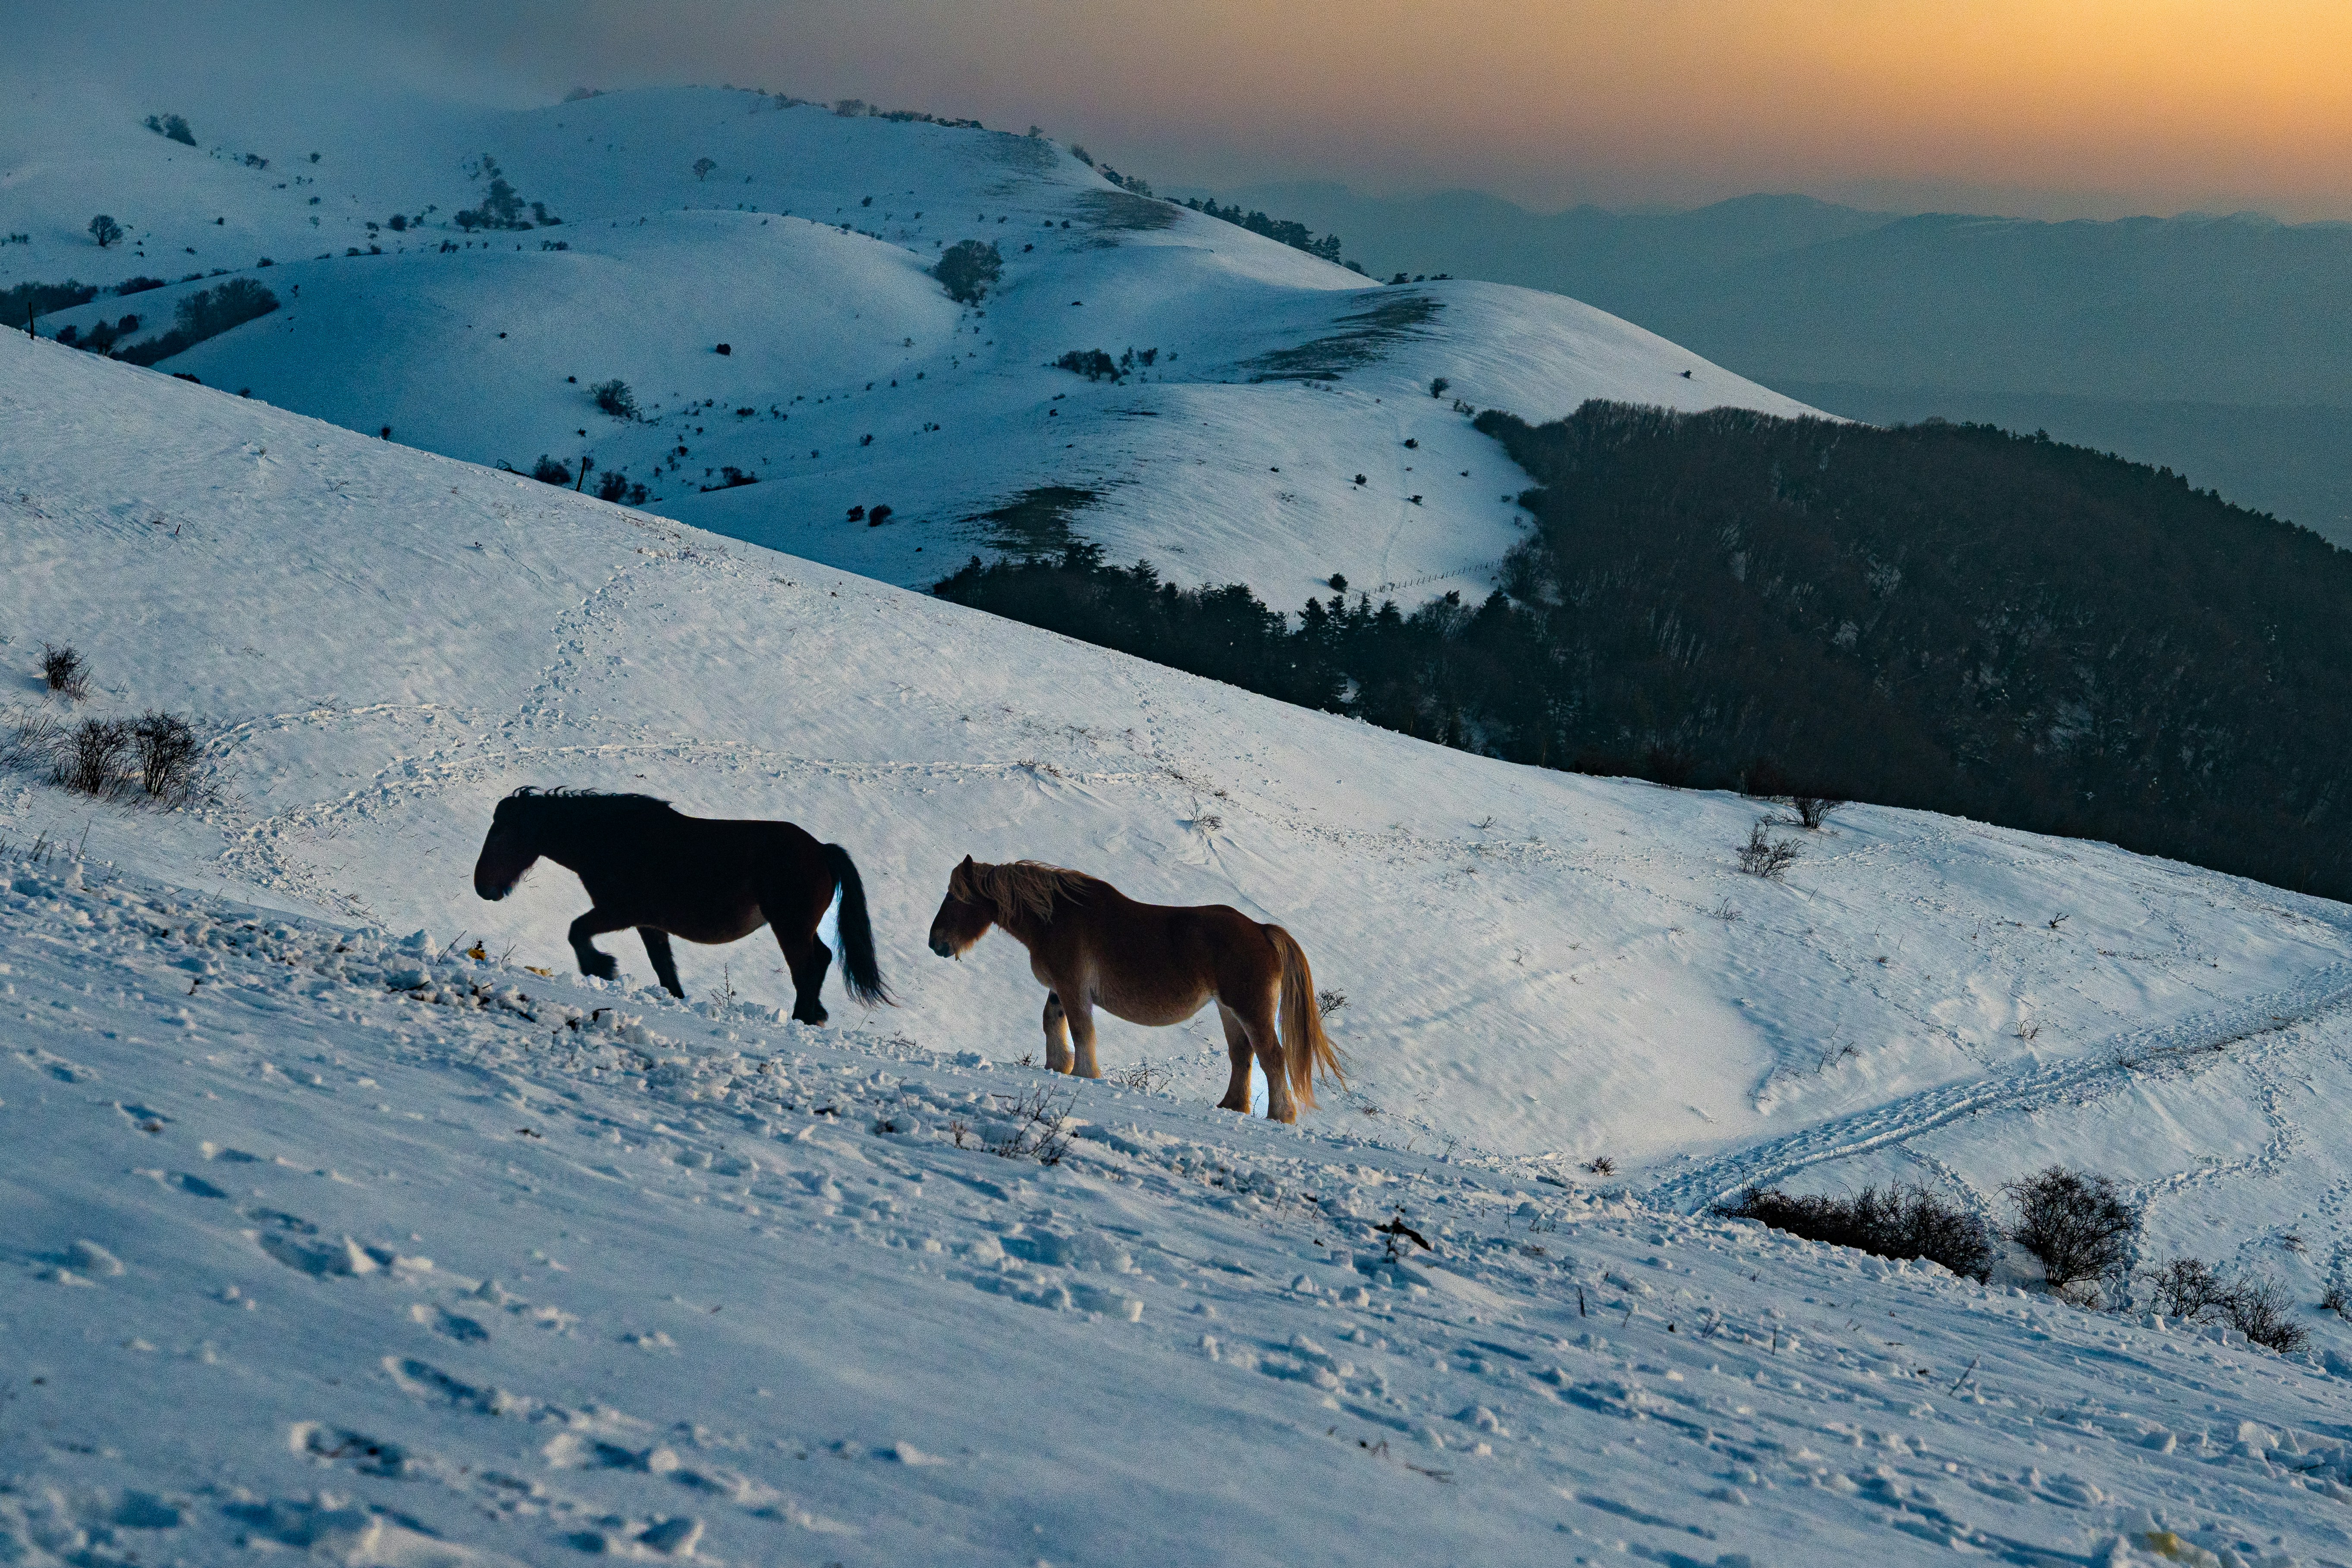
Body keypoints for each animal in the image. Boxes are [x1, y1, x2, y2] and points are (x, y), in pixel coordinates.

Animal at [472, 788, 889, 1023]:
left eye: (502, 832)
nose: (483, 887)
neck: (610, 839)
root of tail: (822, 850)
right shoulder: (649, 925)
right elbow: (665, 970)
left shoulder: (621, 913)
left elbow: (577, 931)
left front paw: (602, 967)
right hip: (798, 926)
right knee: (821, 958)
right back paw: (815, 1014)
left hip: (789, 926)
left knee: (807, 967)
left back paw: (805, 1017)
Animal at [925, 857, 1342, 1123]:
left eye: (954, 896)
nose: (935, 942)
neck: (1055, 916)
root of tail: (1262, 930)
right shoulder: (1060, 989)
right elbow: (1052, 1022)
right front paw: (1058, 1066)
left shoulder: (1072, 986)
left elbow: (1081, 1030)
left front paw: (1084, 1074)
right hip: (1228, 1010)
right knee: (1242, 1055)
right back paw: (1230, 1106)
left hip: (1250, 1008)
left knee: (1272, 1056)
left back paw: (1280, 1115)